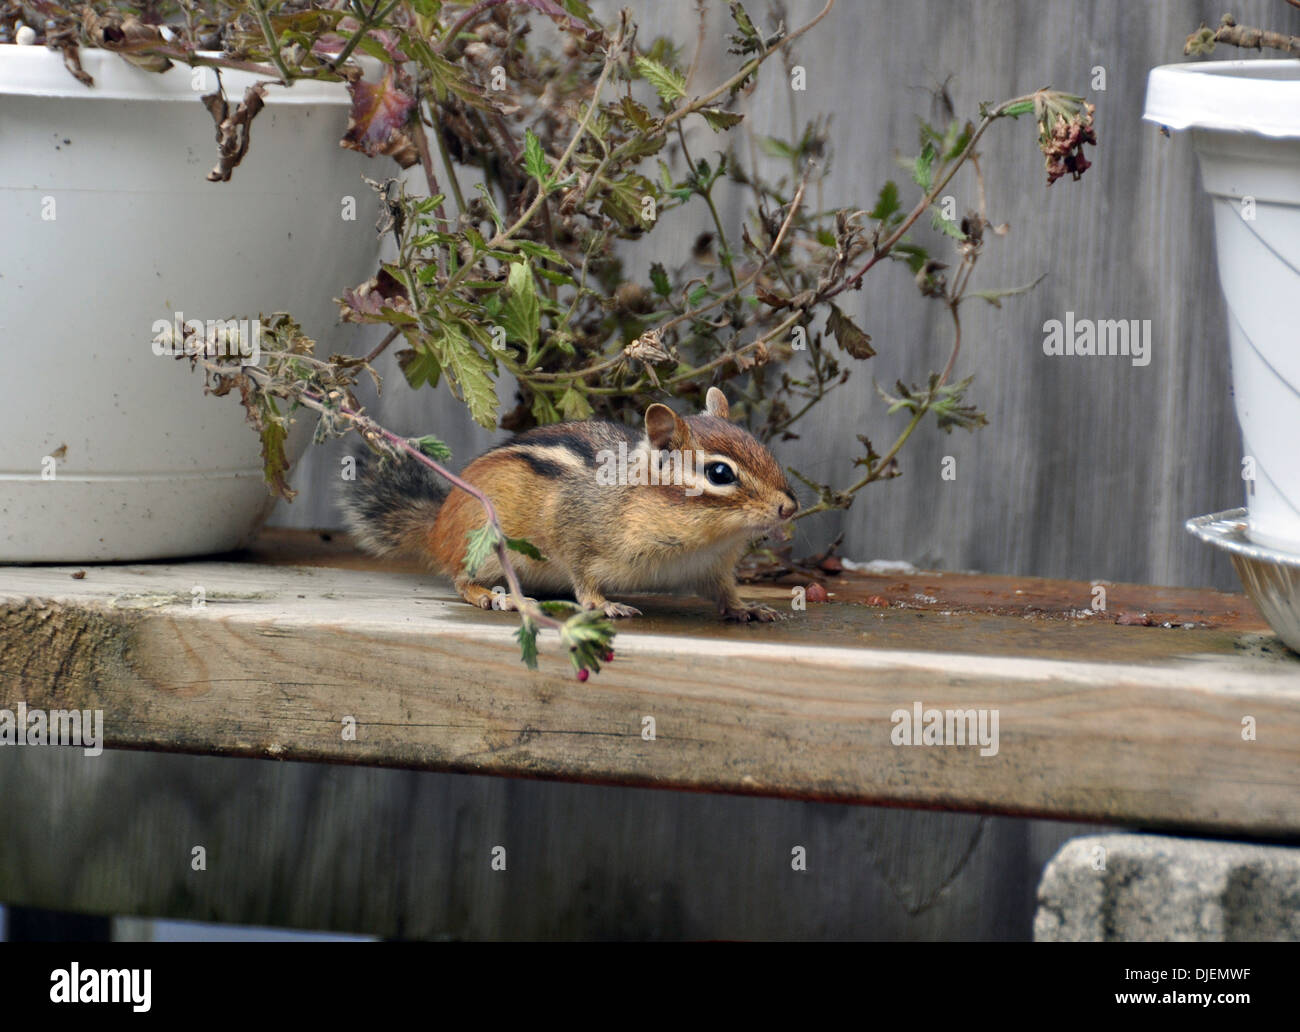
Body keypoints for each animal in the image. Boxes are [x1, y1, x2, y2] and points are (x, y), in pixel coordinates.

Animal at [339, 387, 799, 621]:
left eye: (762, 447)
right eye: (720, 474)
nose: (789, 508)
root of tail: (436, 525)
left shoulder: (712, 568)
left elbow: (724, 591)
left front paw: (747, 608)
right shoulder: (575, 532)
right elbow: (581, 574)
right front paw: (602, 603)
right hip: (485, 543)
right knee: (460, 579)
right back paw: (500, 597)